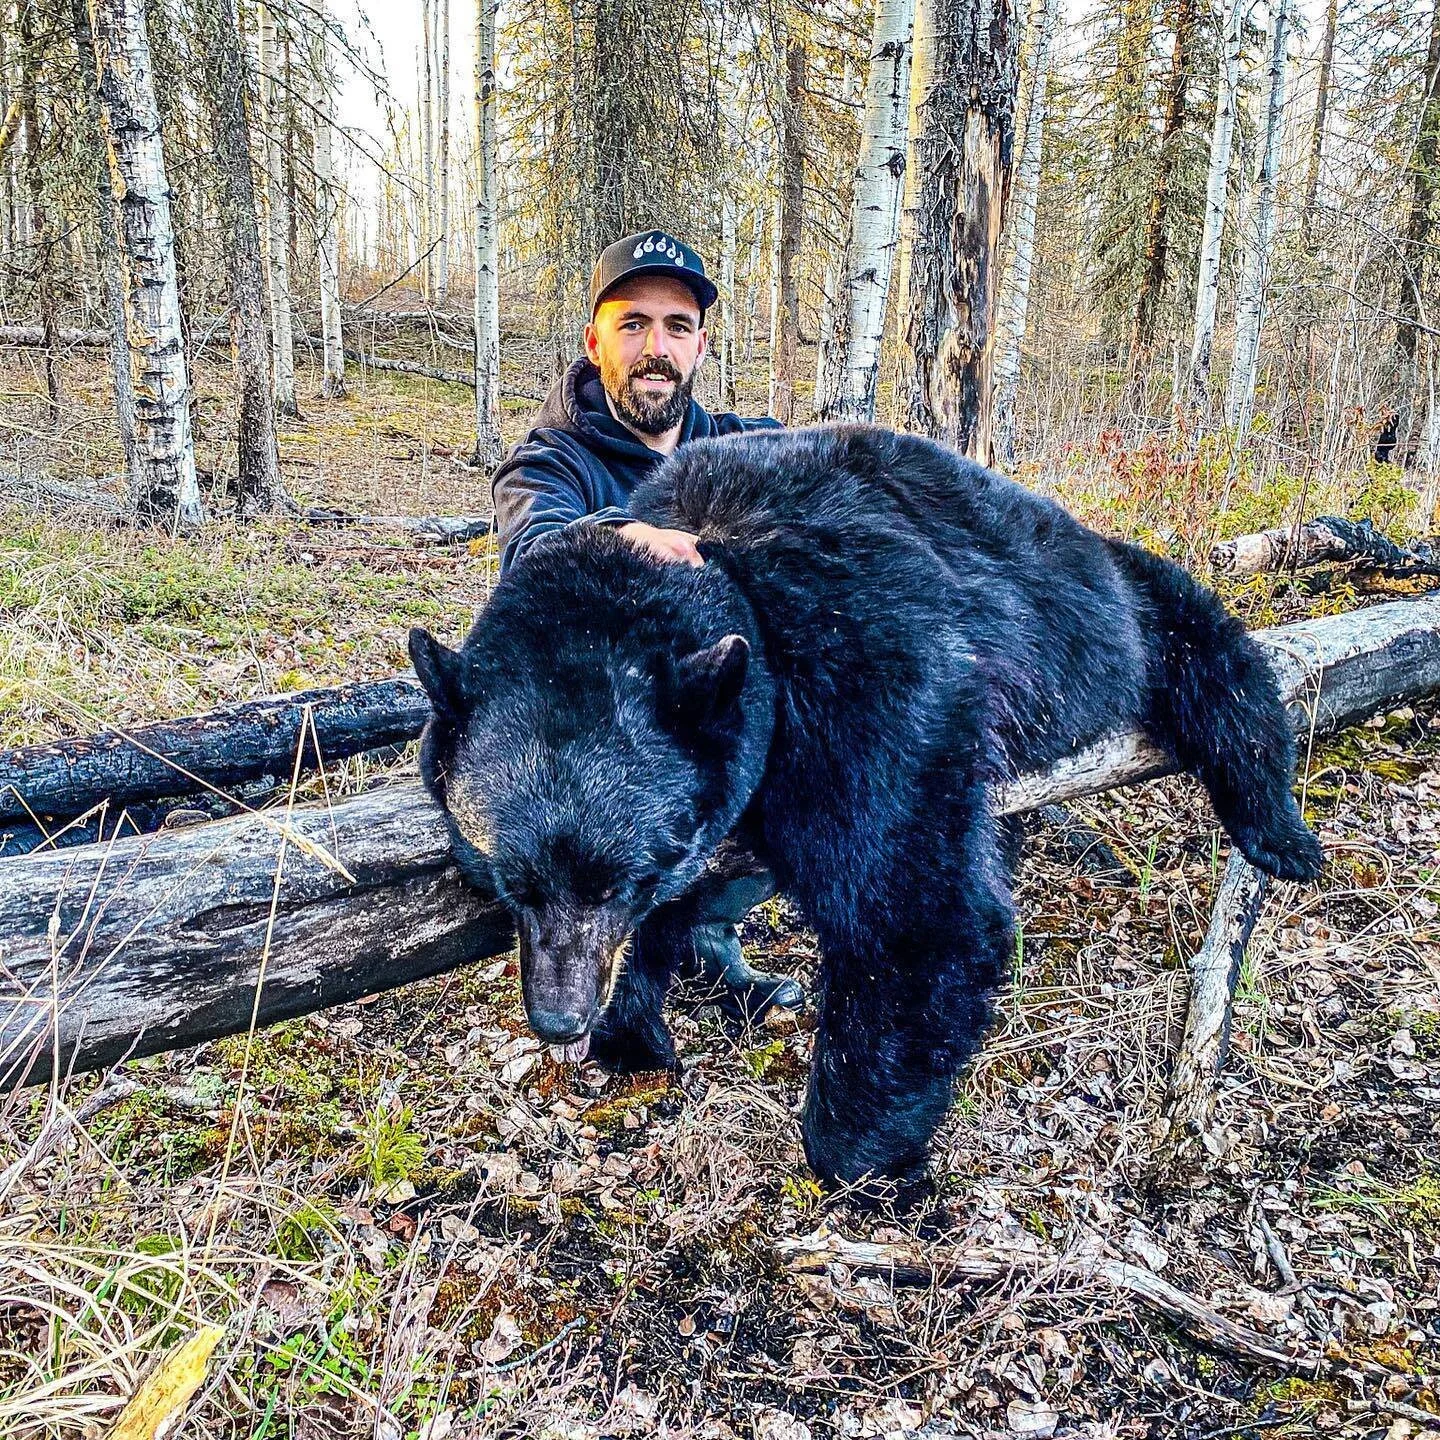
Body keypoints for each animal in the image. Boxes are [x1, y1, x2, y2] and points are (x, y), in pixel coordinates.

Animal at [409, 425, 1323, 1189]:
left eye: (617, 881)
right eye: (511, 883)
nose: (558, 1018)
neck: (724, 572)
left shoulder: (866, 674)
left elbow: (915, 915)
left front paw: (868, 1162)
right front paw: (638, 1027)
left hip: (1126, 600)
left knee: (1219, 668)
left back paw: (1281, 834)